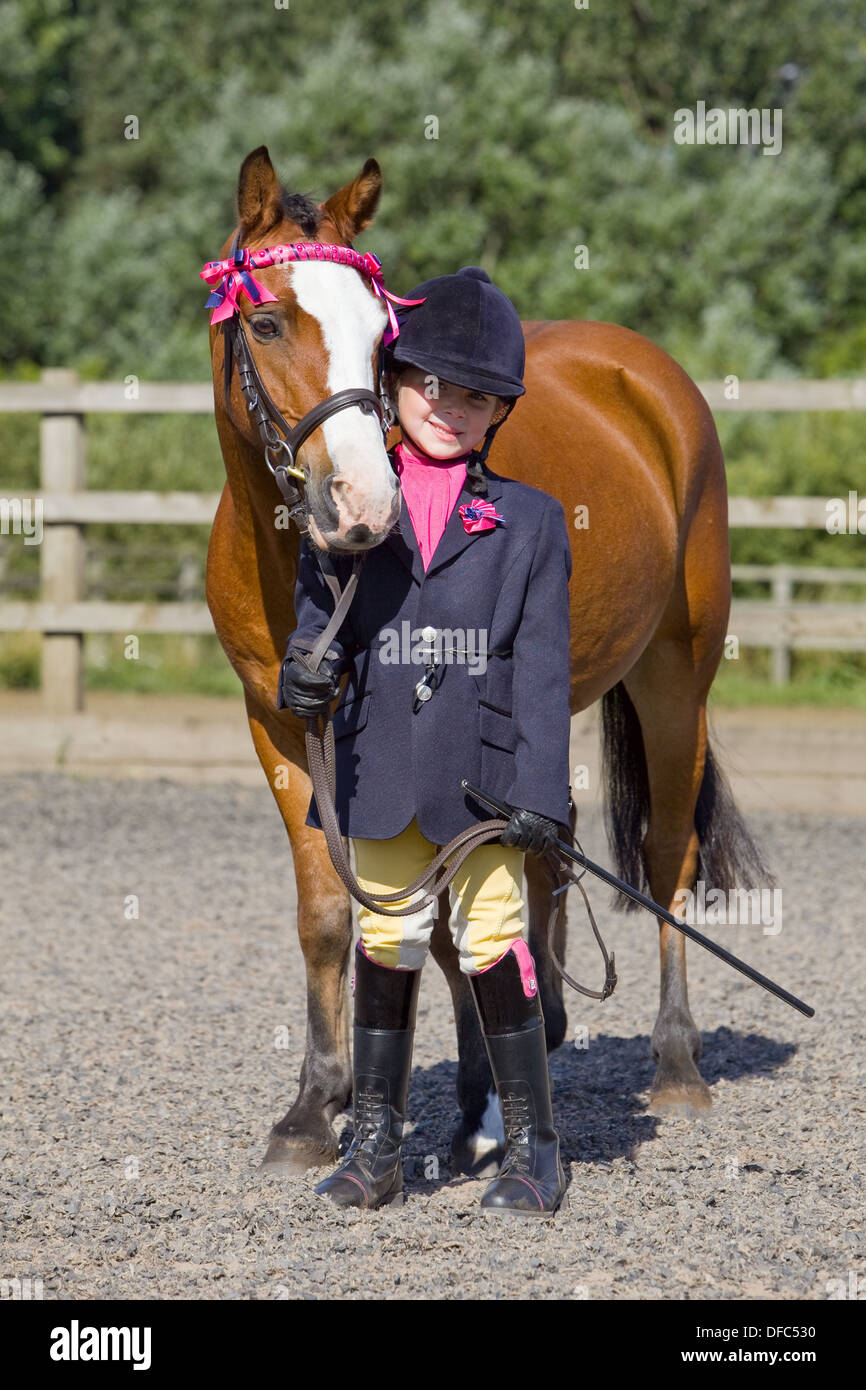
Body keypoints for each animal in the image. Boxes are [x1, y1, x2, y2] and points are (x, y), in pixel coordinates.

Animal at [204, 145, 769, 1176]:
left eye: (381, 338)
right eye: (265, 322)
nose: (363, 506)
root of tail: (644, 375)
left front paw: (473, 1105)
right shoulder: (279, 723)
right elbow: (331, 911)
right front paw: (314, 1108)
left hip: (676, 677)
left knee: (667, 854)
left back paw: (676, 1062)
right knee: (549, 846)